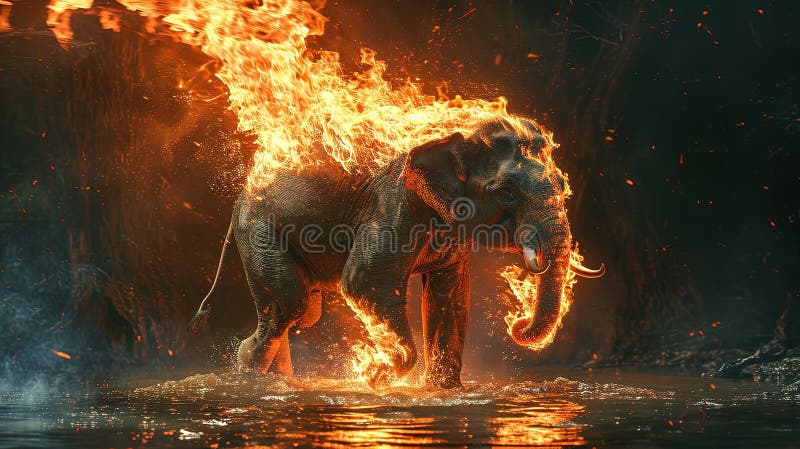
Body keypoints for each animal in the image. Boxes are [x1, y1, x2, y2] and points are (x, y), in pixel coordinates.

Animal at [188, 118, 604, 389]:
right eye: (506, 193)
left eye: (563, 184)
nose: (516, 324)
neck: (455, 138)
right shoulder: (395, 204)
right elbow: (364, 282)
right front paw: (377, 377)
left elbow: (450, 298)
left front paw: (442, 391)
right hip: (258, 230)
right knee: (292, 304)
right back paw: (250, 370)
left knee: (301, 311)